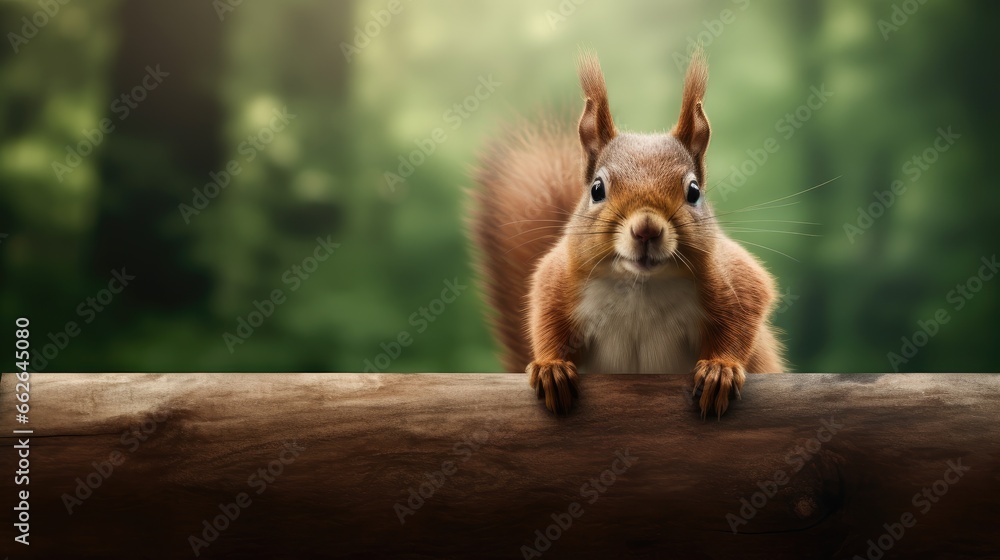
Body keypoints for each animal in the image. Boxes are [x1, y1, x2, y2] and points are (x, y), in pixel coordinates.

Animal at [471, 51, 784, 418]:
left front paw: (720, 369)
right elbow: (547, 320)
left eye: (693, 191)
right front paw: (551, 368)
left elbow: (744, 312)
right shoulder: (558, 278)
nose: (646, 229)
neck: (640, 288)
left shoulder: (732, 276)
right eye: (597, 189)